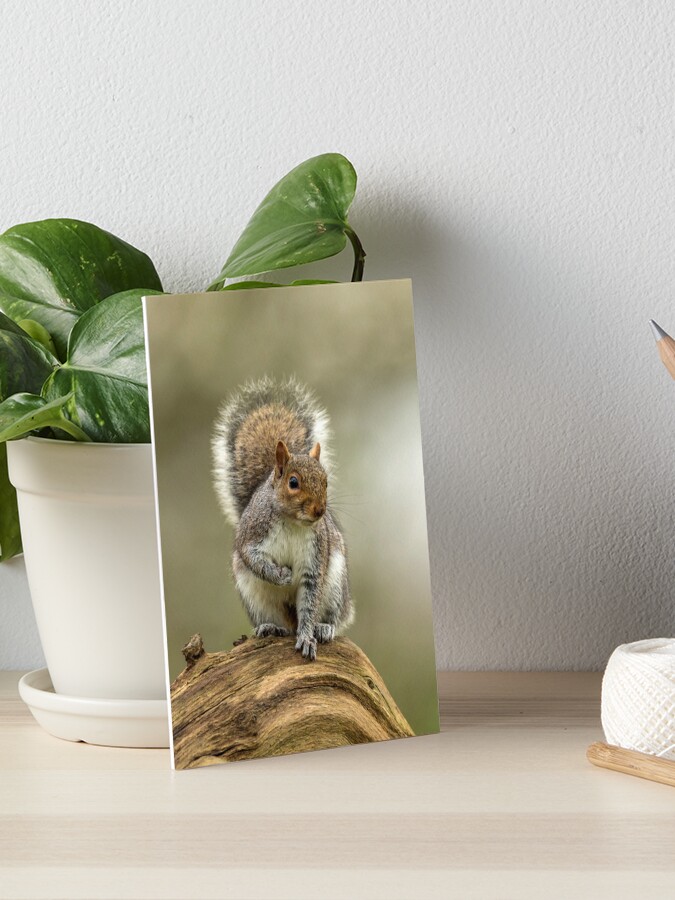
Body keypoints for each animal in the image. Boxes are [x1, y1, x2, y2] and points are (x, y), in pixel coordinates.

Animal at [211, 376, 354, 661]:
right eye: (293, 482)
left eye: (326, 481)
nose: (320, 511)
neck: (293, 523)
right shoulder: (252, 534)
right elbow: (254, 559)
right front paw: (281, 575)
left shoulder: (315, 560)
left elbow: (309, 603)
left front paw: (307, 637)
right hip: (255, 597)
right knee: (281, 624)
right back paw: (271, 628)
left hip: (335, 584)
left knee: (329, 616)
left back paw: (323, 628)